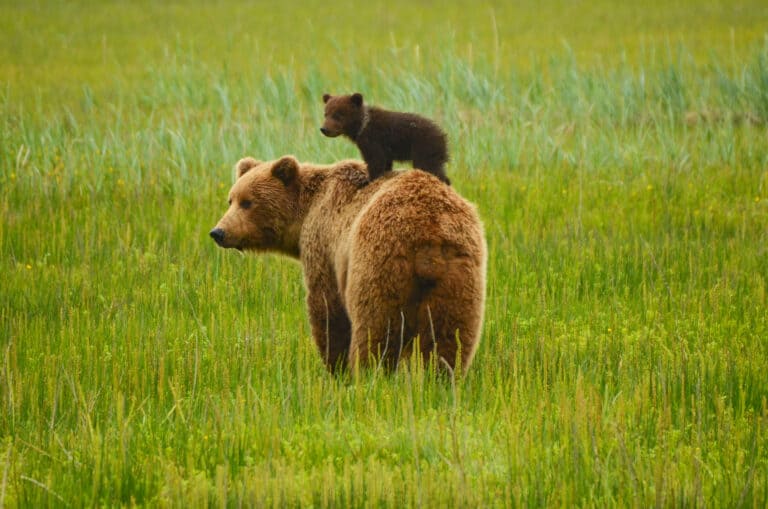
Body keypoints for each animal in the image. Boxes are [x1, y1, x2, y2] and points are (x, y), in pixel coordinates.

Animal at [210, 156, 486, 374]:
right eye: (231, 200)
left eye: (248, 202)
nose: (218, 232)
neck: (306, 212)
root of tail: (429, 233)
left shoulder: (324, 243)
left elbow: (326, 306)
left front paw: (335, 366)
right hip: (459, 274)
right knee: (450, 334)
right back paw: (440, 378)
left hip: (378, 263)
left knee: (375, 326)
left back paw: (369, 375)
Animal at [320, 93, 451, 185]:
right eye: (326, 113)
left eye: (338, 115)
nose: (324, 129)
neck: (361, 127)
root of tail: (442, 135)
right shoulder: (383, 147)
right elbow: (385, 163)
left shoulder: (373, 139)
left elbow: (376, 160)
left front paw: (367, 180)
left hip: (424, 149)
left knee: (430, 168)